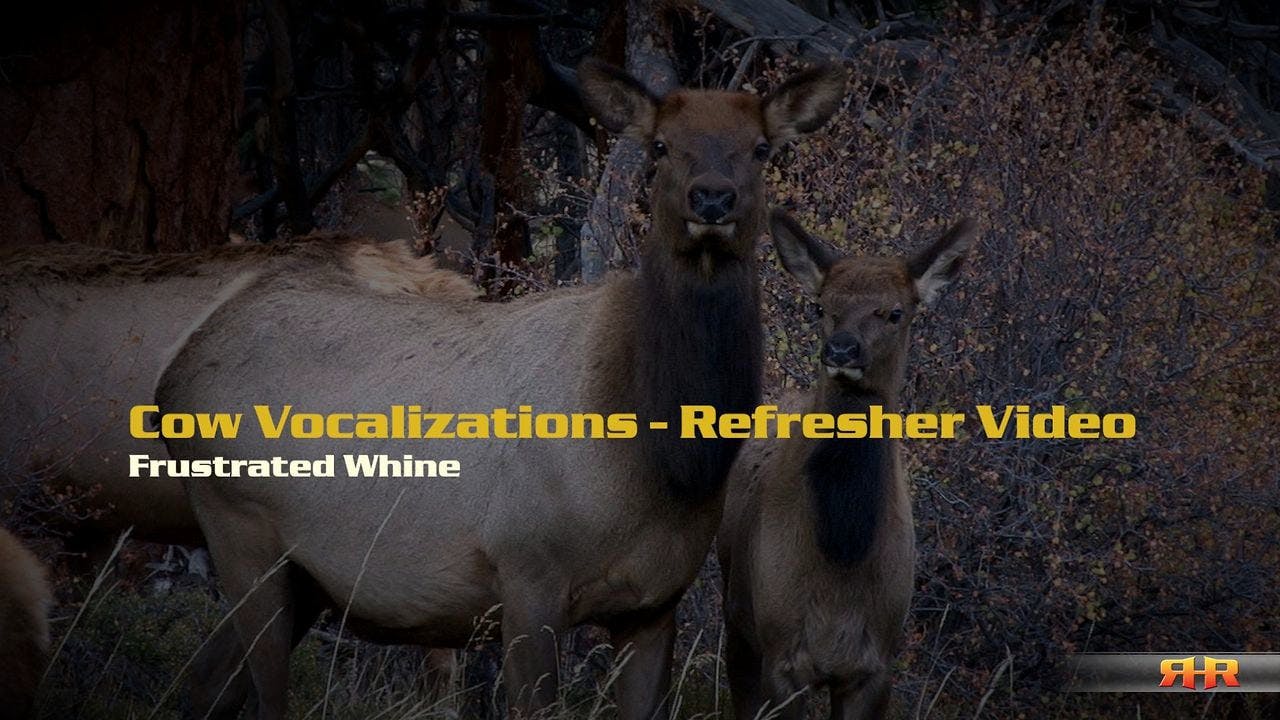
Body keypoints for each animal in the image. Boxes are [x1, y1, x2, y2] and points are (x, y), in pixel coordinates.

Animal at [153, 59, 845, 719]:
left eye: (761, 147)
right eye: (661, 145)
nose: (712, 199)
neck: (665, 459)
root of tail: (174, 373)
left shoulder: (654, 604)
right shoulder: (527, 576)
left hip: (302, 577)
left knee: (206, 683)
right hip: (240, 531)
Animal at [717, 210, 974, 719]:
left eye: (895, 312)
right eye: (821, 307)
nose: (840, 349)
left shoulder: (875, 664)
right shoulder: (780, 651)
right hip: (738, 619)